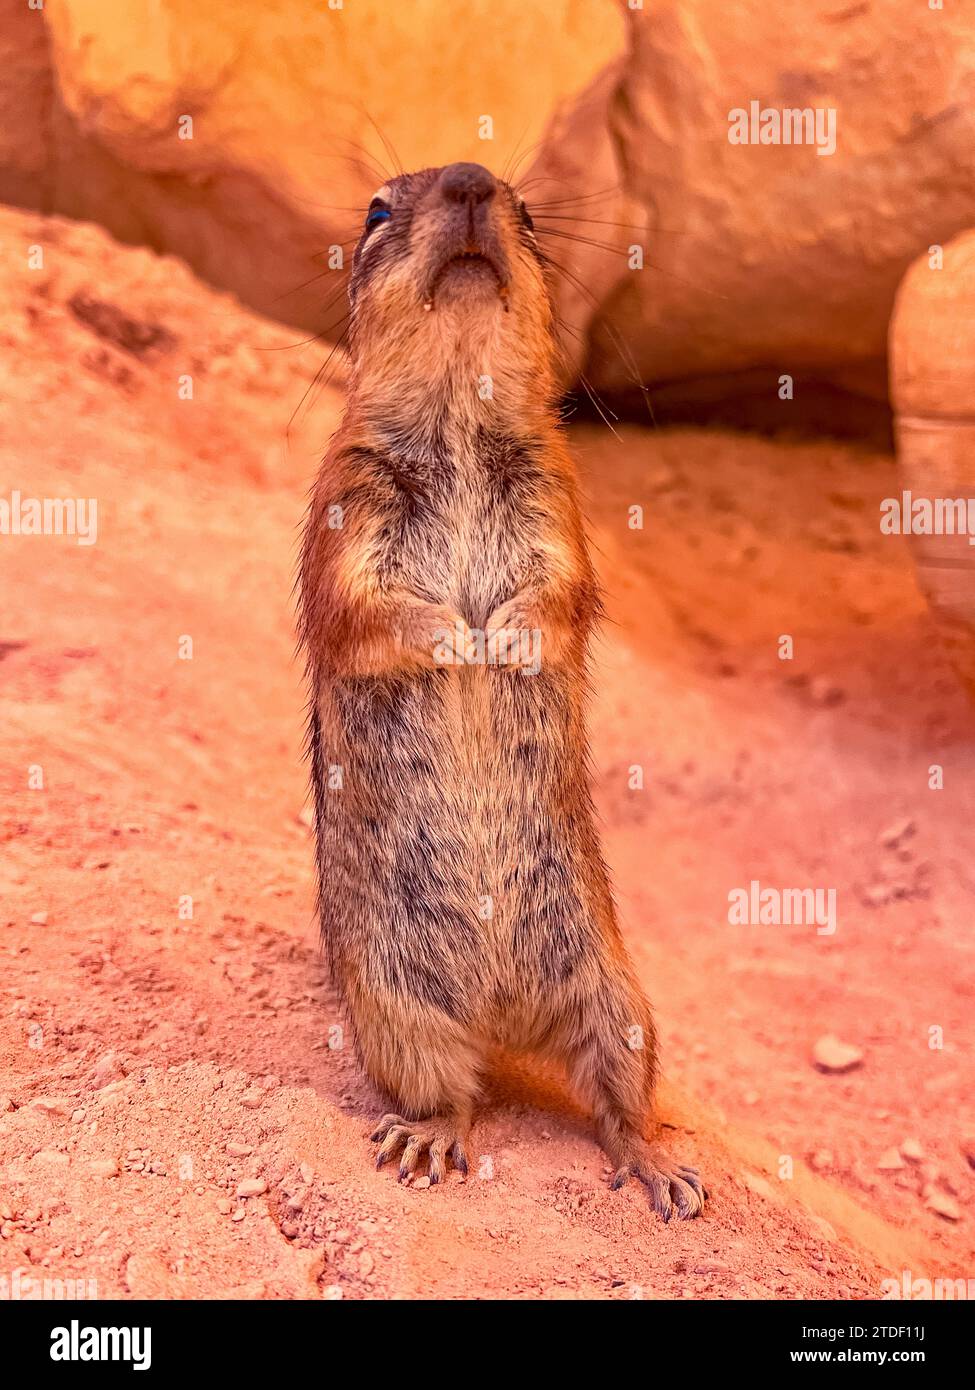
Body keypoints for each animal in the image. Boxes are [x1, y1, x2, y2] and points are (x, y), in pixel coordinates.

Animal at [299, 162, 704, 1220]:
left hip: (619, 1001)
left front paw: (505, 636)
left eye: (523, 210)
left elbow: (559, 590)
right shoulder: (343, 506)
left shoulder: (556, 498)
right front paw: (457, 636)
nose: (472, 180)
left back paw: (663, 1174)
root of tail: (503, 1017)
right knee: (456, 1098)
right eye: (376, 209)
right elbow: (364, 606)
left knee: (618, 1110)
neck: (456, 418)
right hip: (397, 1012)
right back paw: (427, 1141)